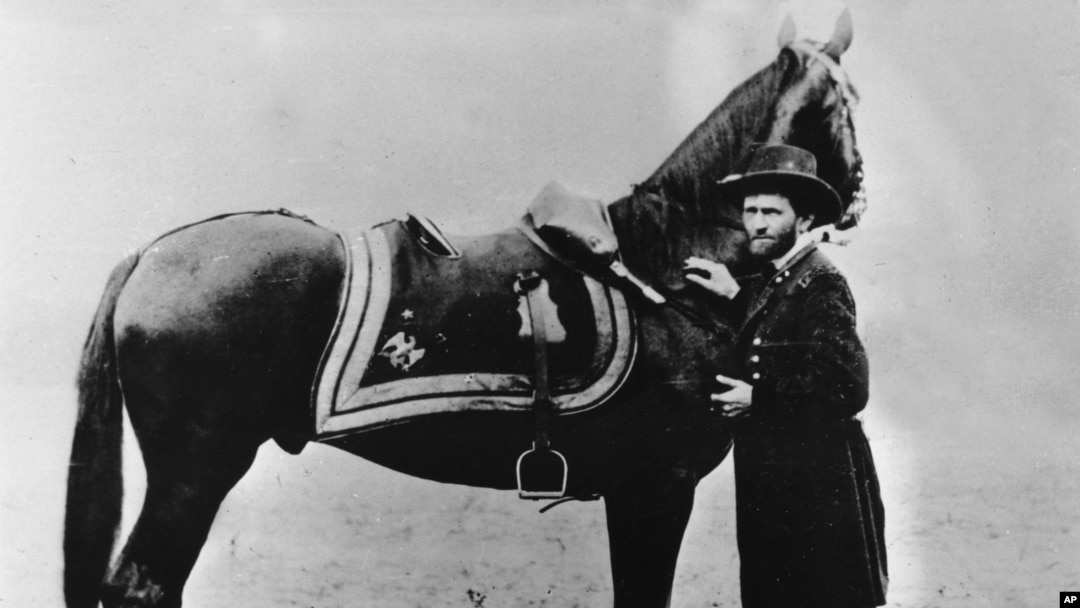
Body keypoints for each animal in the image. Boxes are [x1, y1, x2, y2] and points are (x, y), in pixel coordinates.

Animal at [64, 14, 865, 608]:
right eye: (847, 100)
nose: (855, 194)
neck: (658, 265)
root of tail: (151, 255)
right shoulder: (657, 490)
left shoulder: (639, 494)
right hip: (197, 469)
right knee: (140, 587)